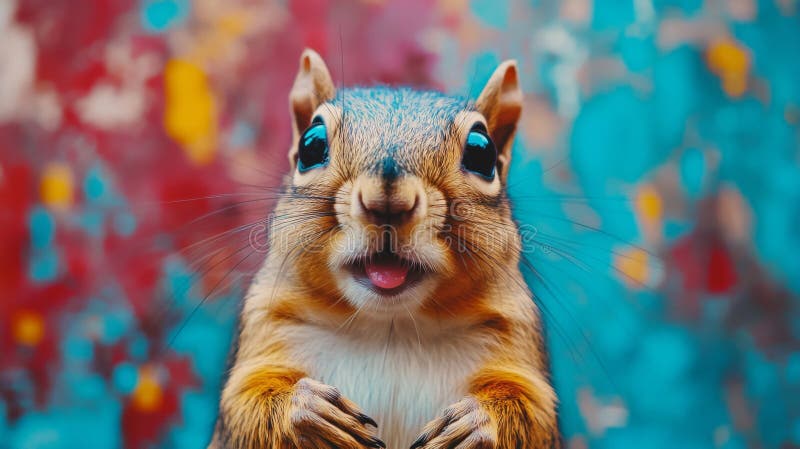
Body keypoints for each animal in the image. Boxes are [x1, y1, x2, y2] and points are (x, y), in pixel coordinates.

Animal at [208, 49, 560, 449]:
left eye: (481, 154)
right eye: (311, 145)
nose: (388, 200)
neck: (391, 328)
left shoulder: (515, 336)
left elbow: (531, 410)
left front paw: (477, 421)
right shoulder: (265, 325)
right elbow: (246, 403)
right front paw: (307, 410)